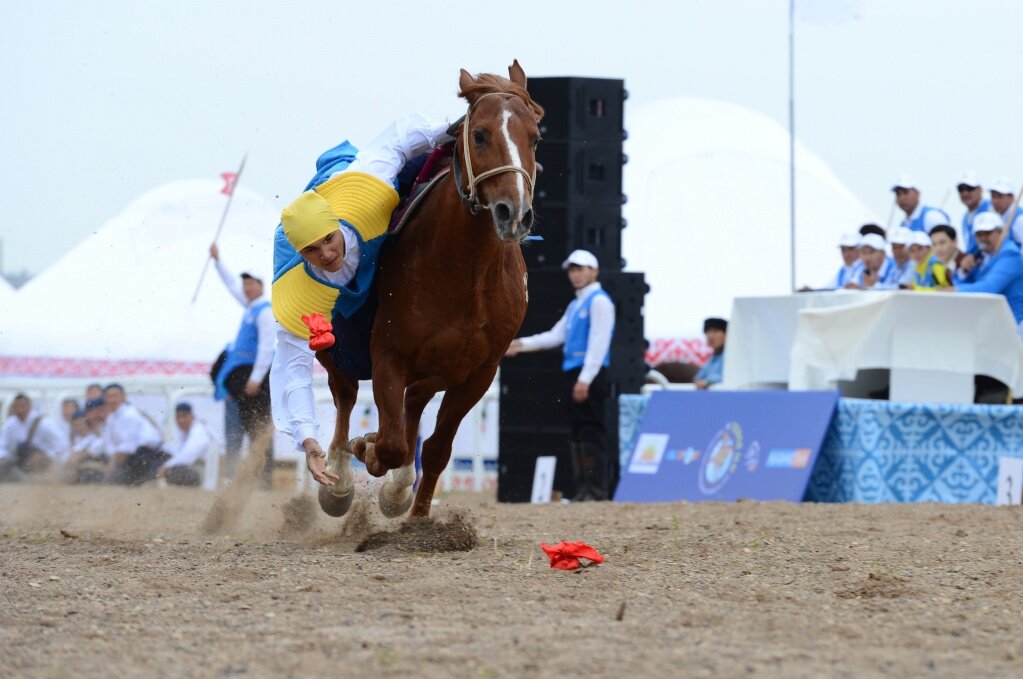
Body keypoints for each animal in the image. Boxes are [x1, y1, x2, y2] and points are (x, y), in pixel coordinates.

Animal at [315, 61, 544, 517]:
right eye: (480, 134)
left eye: (535, 137)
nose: (514, 213)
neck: (466, 275)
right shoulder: (388, 354)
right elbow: (388, 443)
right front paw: (367, 452)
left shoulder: (480, 371)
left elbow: (435, 448)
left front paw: (417, 514)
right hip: (335, 347)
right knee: (346, 394)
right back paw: (339, 479)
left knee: (415, 403)